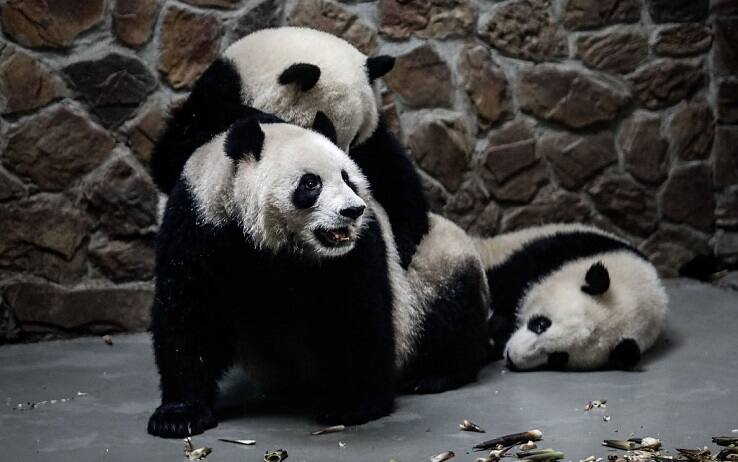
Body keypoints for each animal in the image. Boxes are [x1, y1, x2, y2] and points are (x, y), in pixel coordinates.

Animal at [148, 113, 489, 438]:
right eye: (311, 183)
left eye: (349, 179)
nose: (352, 211)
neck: (272, 243)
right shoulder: (202, 225)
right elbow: (189, 313)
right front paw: (179, 416)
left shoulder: (357, 249)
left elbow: (356, 314)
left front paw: (354, 404)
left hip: (434, 263)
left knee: (450, 306)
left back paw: (437, 373)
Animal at [150, 26, 428, 269]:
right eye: (317, 125)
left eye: (356, 138)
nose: (350, 174)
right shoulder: (211, 100)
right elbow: (171, 157)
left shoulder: (375, 139)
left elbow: (394, 169)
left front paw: (404, 247)